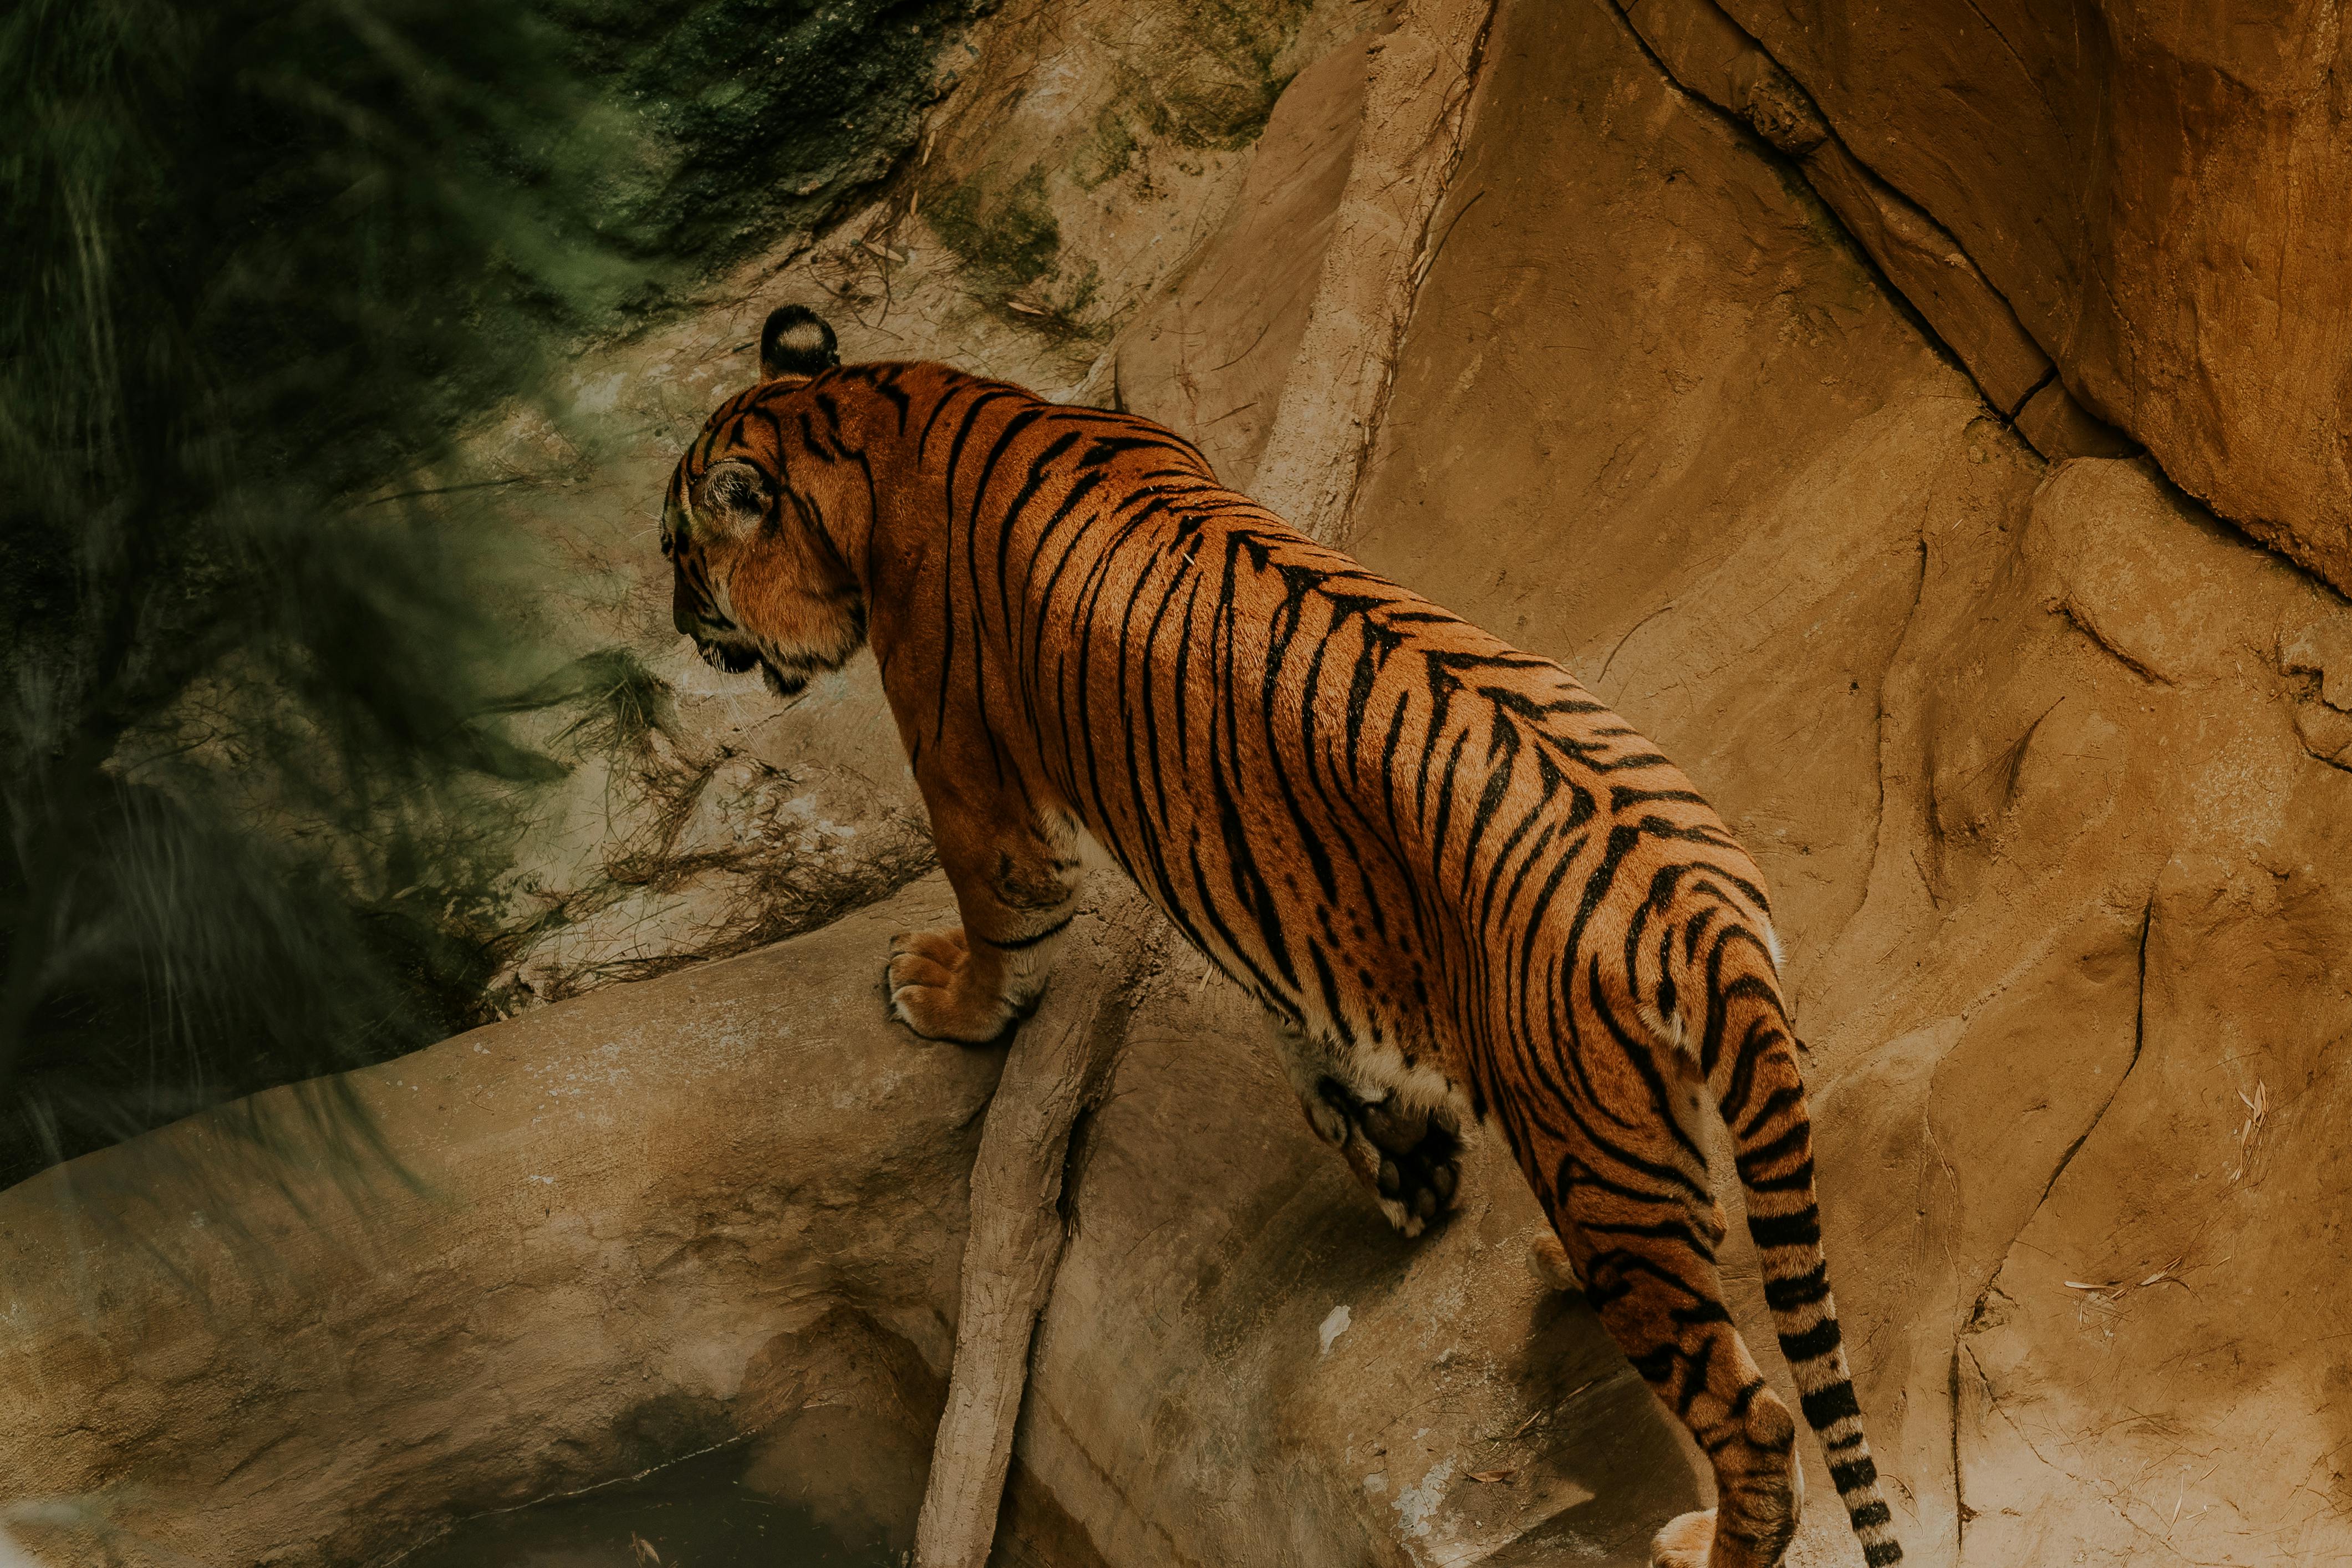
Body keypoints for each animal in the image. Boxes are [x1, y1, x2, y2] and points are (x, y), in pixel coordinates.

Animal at [658, 303, 1904, 1568]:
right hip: (1635, 1150)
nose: (676, 623)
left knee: (1753, 1419)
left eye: (676, 552)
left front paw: (939, 992)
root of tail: (1696, 907)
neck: (867, 415)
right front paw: (1403, 1160)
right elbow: (1324, 1043)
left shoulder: (976, 785)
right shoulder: (1302, 922)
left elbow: (1005, 923)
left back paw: (1701, 1537)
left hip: (1599, 1165)